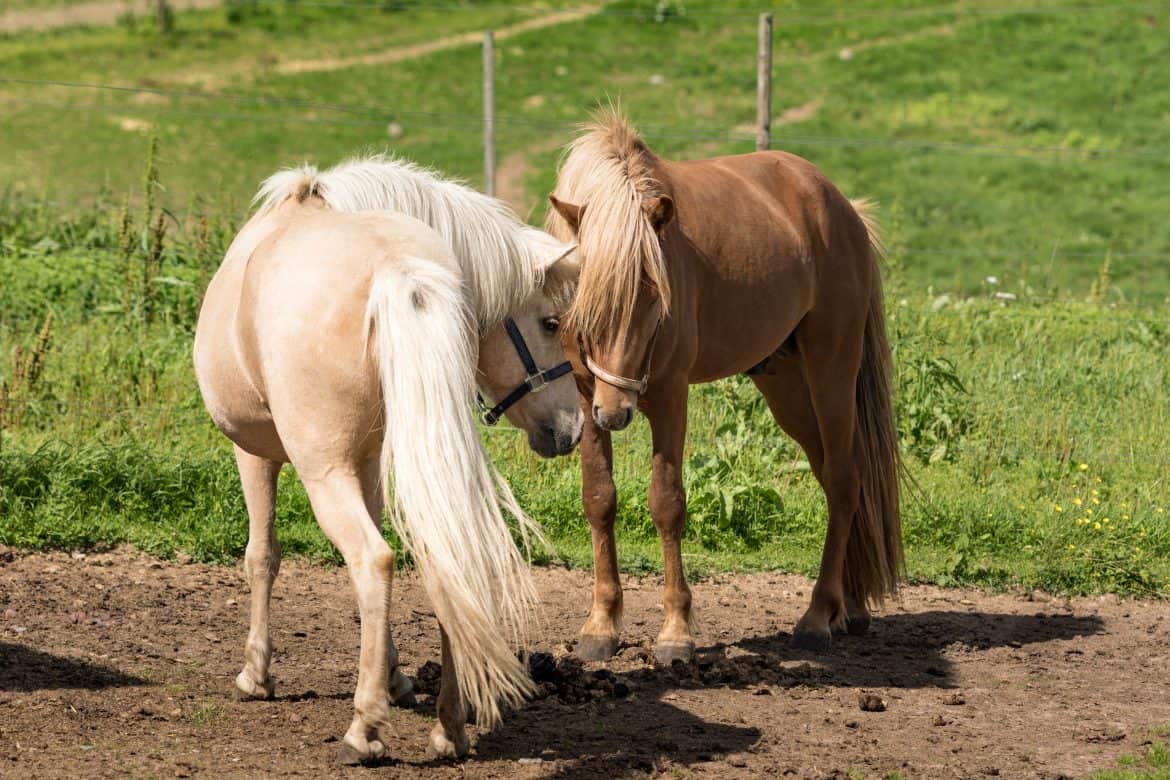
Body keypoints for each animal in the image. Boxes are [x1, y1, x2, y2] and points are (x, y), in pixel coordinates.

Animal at [194, 156, 582, 764]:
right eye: (550, 322)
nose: (573, 429)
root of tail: (400, 270)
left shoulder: (254, 454)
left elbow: (262, 556)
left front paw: (256, 674)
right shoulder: (374, 460)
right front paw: (395, 676)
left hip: (321, 471)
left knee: (372, 561)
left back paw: (363, 731)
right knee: (447, 561)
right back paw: (449, 728)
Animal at [545, 108, 902, 662]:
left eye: (655, 293)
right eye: (585, 295)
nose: (618, 411)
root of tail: (843, 209)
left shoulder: (671, 396)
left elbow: (666, 503)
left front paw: (676, 632)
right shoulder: (587, 395)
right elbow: (599, 499)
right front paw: (601, 625)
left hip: (832, 370)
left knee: (844, 480)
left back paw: (818, 616)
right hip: (786, 387)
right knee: (834, 476)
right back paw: (849, 608)